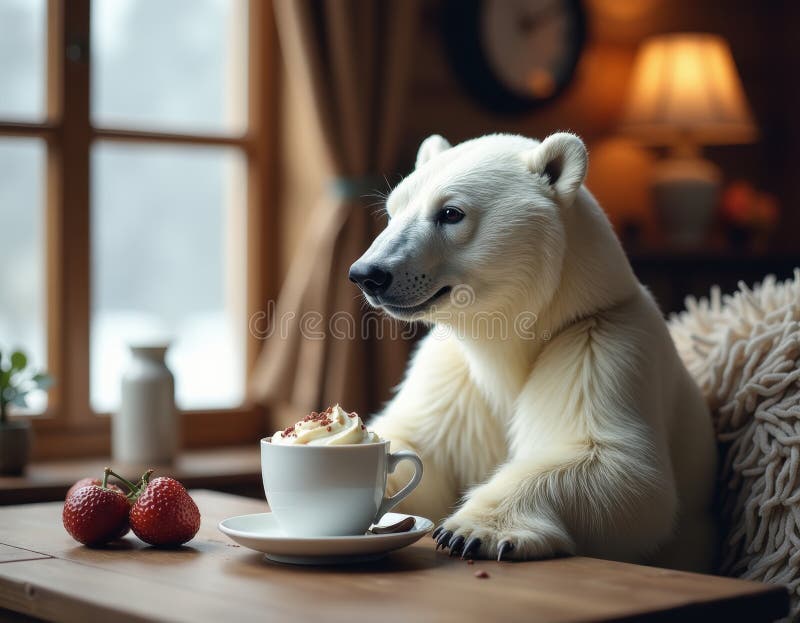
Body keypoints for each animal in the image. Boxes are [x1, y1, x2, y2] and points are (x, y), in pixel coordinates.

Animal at [348, 132, 717, 570]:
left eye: (451, 212)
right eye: (392, 211)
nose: (368, 274)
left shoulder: (599, 343)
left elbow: (614, 465)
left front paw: (471, 532)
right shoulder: (451, 376)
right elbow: (417, 445)